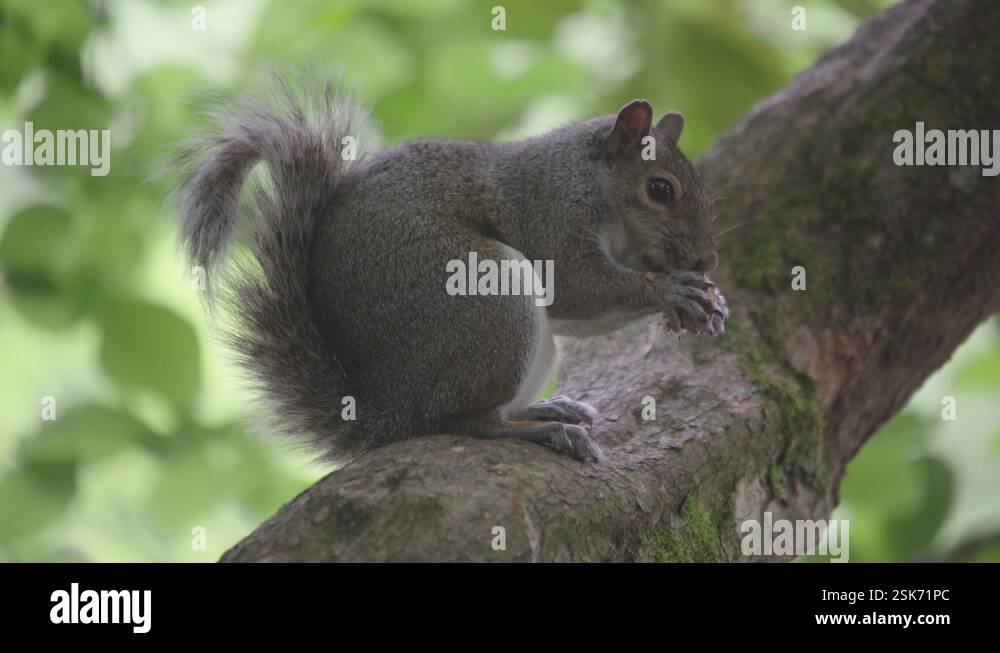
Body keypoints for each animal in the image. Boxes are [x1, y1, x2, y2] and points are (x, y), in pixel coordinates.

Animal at [173, 78, 726, 464]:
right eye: (660, 189)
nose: (706, 260)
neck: (589, 178)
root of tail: (394, 408)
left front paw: (704, 296)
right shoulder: (548, 213)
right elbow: (577, 288)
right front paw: (672, 292)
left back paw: (547, 409)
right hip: (492, 298)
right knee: (466, 420)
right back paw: (544, 429)